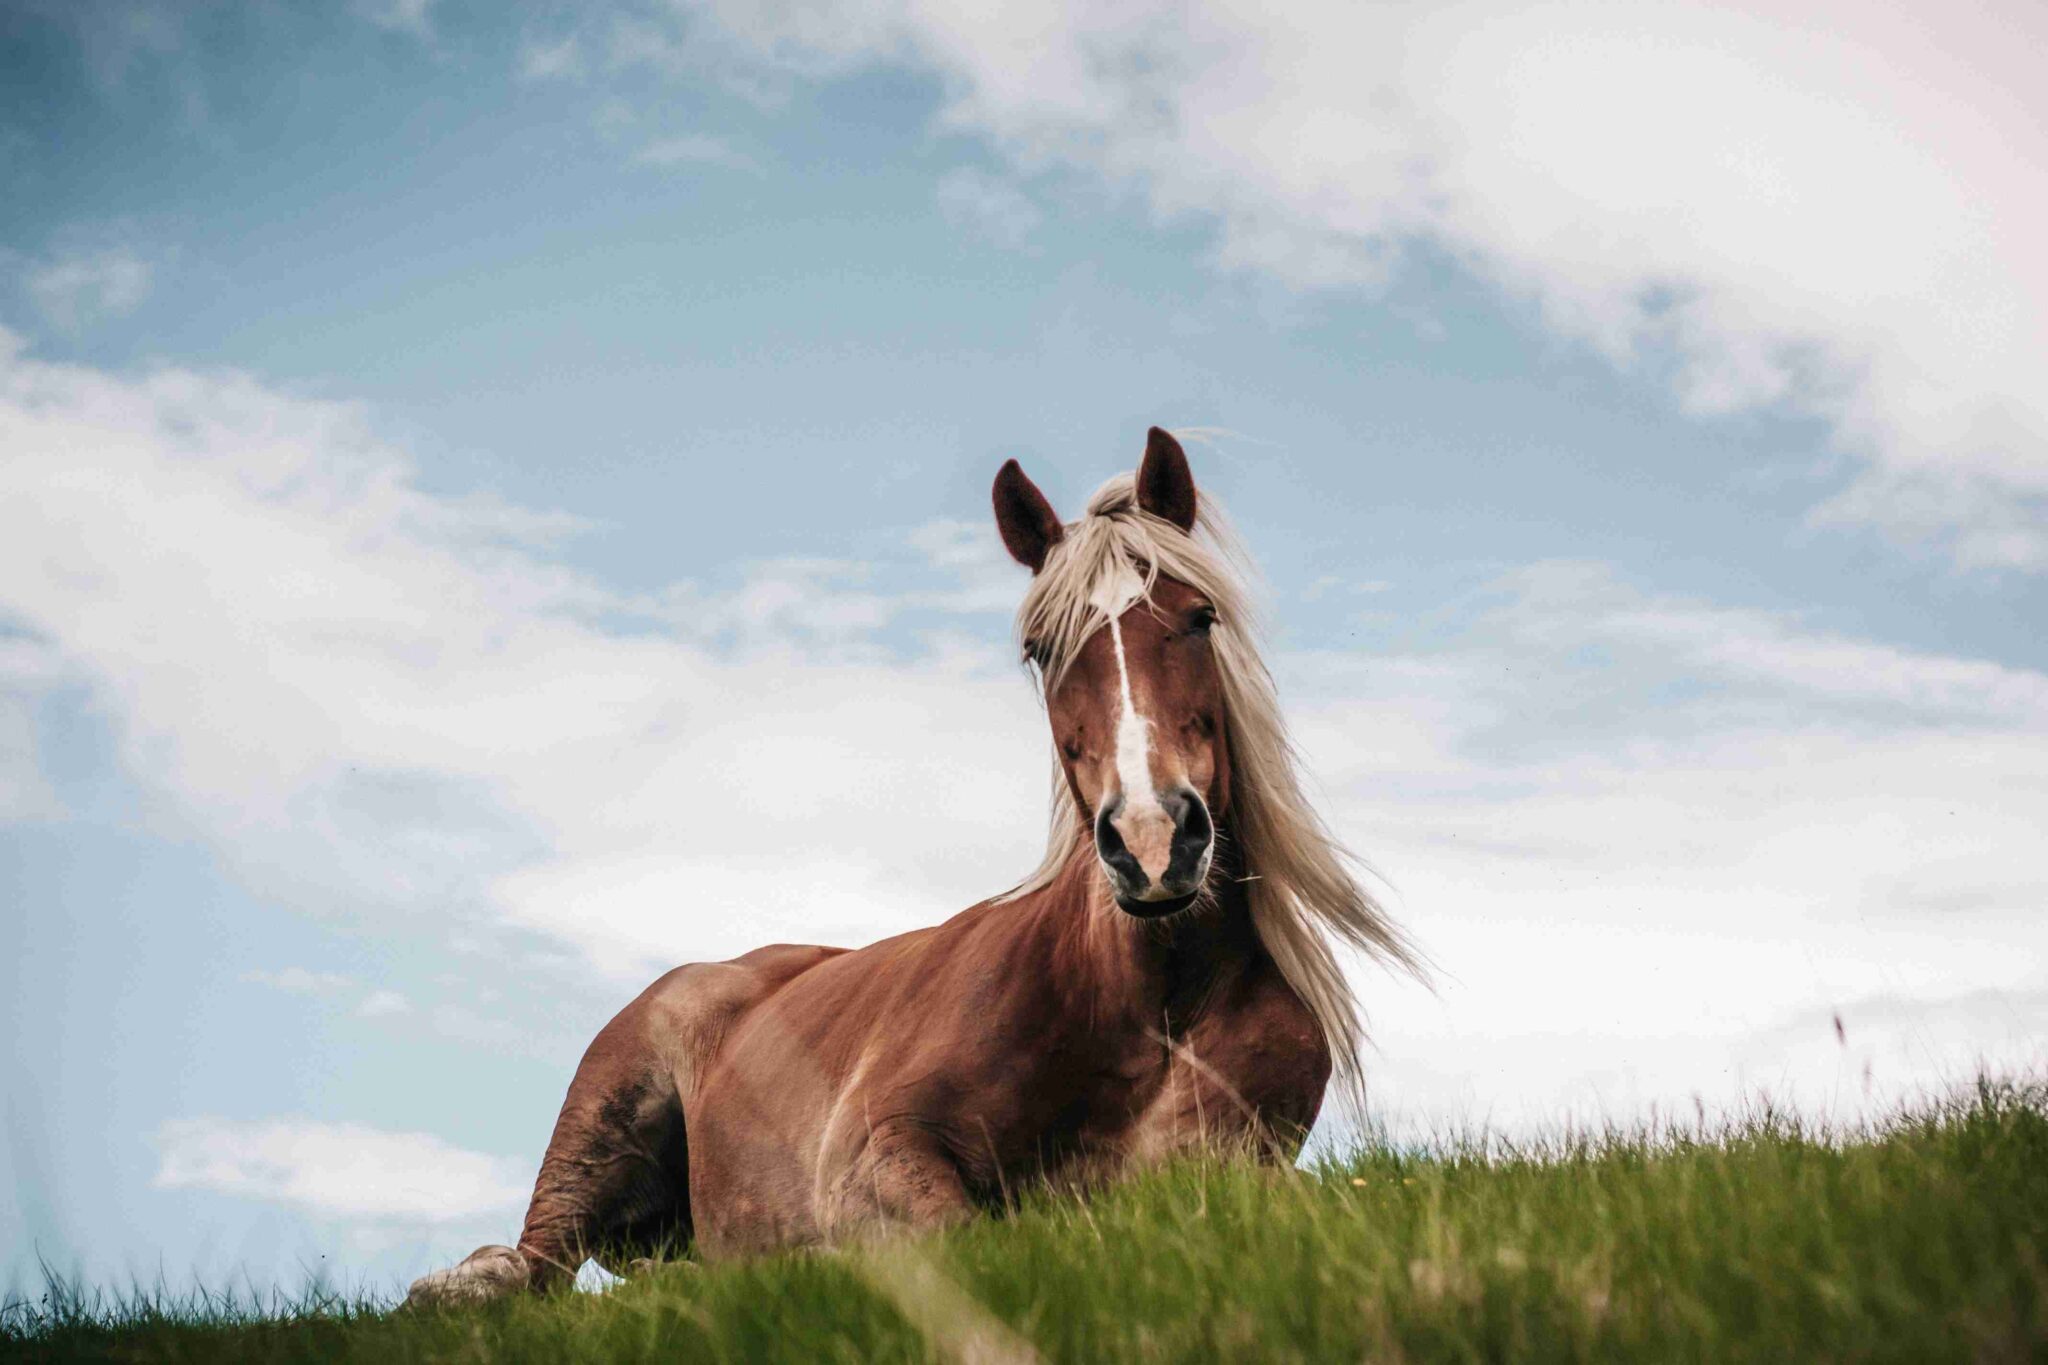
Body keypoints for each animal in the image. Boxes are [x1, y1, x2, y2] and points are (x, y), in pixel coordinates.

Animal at [406, 429, 1416, 1303]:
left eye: (1199, 619)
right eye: (1040, 650)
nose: (1154, 839)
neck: (1141, 996)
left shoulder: (1230, 1168)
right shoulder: (879, 1147)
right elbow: (957, 1228)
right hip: (603, 1117)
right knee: (537, 1259)